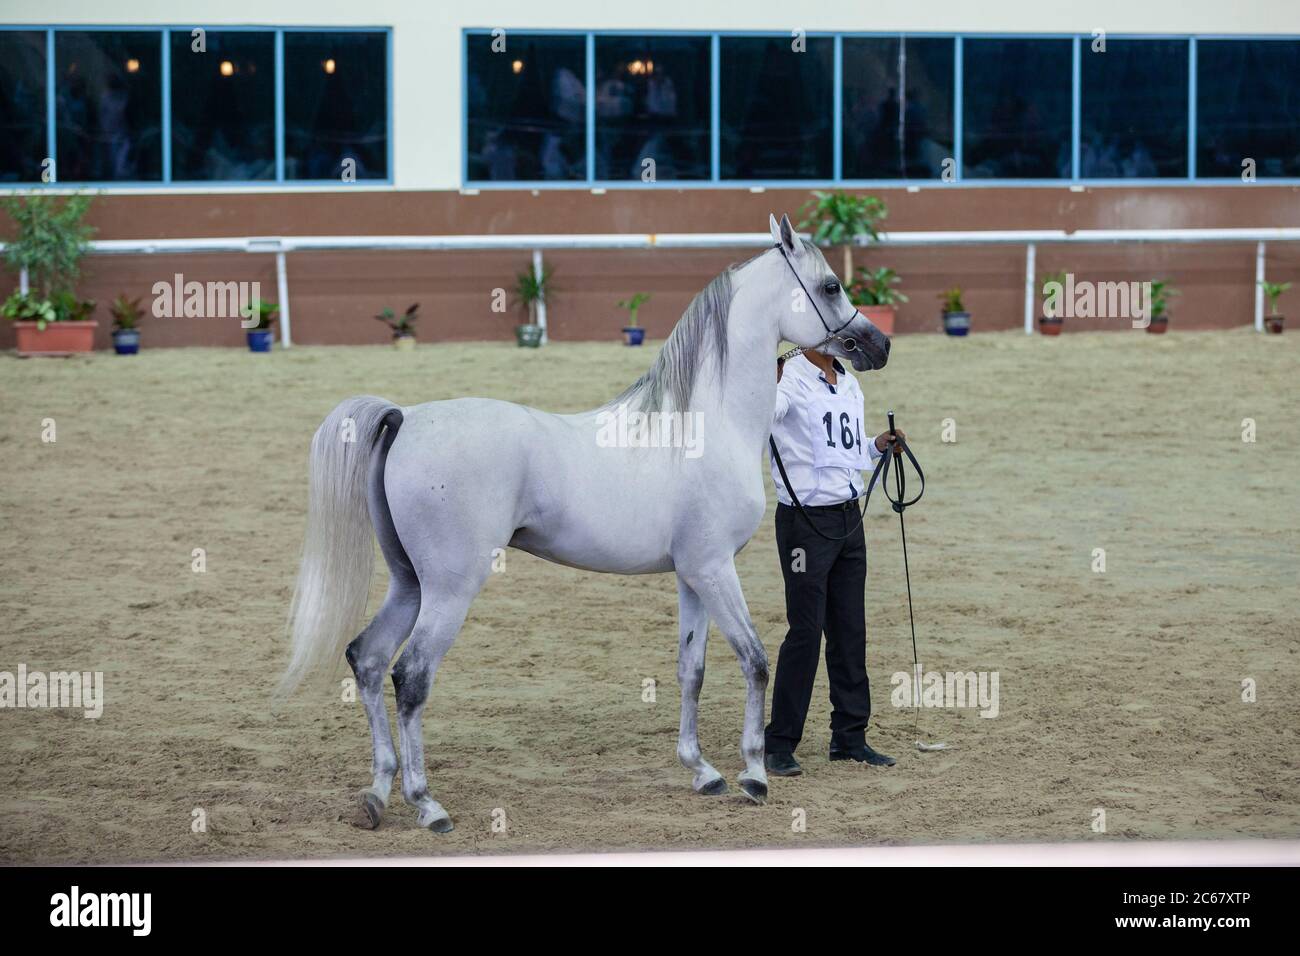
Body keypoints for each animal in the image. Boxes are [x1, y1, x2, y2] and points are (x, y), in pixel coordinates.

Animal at [278, 214, 891, 832]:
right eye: (832, 286)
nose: (879, 344)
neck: (705, 424)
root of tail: (404, 418)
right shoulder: (715, 569)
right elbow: (756, 661)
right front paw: (755, 775)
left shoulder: (691, 575)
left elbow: (690, 669)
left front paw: (703, 771)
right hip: (450, 590)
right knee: (411, 676)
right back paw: (426, 803)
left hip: (410, 584)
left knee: (368, 658)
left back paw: (378, 794)